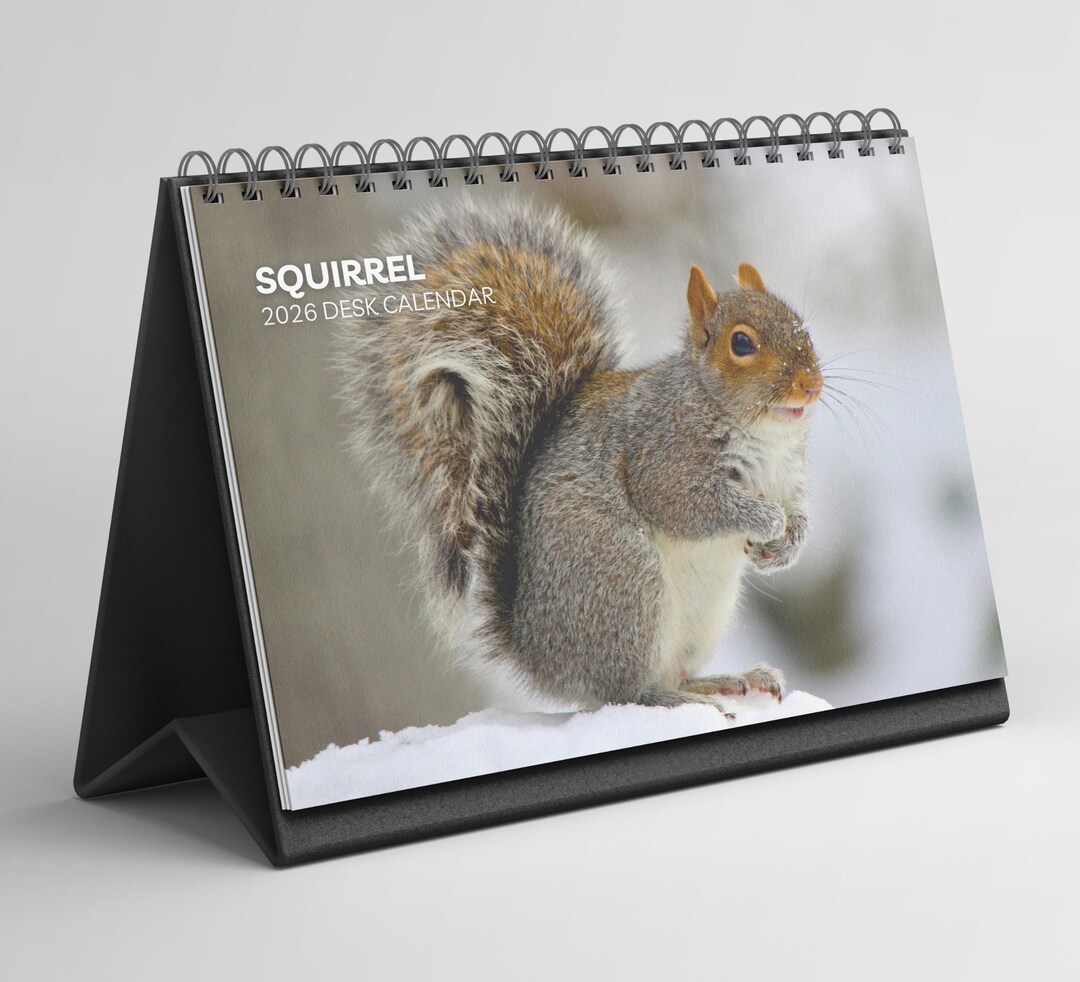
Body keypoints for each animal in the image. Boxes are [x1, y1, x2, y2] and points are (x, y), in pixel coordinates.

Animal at [336, 202, 823, 717]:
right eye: (742, 344)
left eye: (799, 323)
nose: (811, 385)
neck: (763, 431)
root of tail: (541, 658)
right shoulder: (664, 458)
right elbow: (690, 506)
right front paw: (767, 521)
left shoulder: (788, 473)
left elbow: (799, 512)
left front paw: (786, 547)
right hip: (624, 582)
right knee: (626, 691)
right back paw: (679, 698)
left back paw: (729, 680)